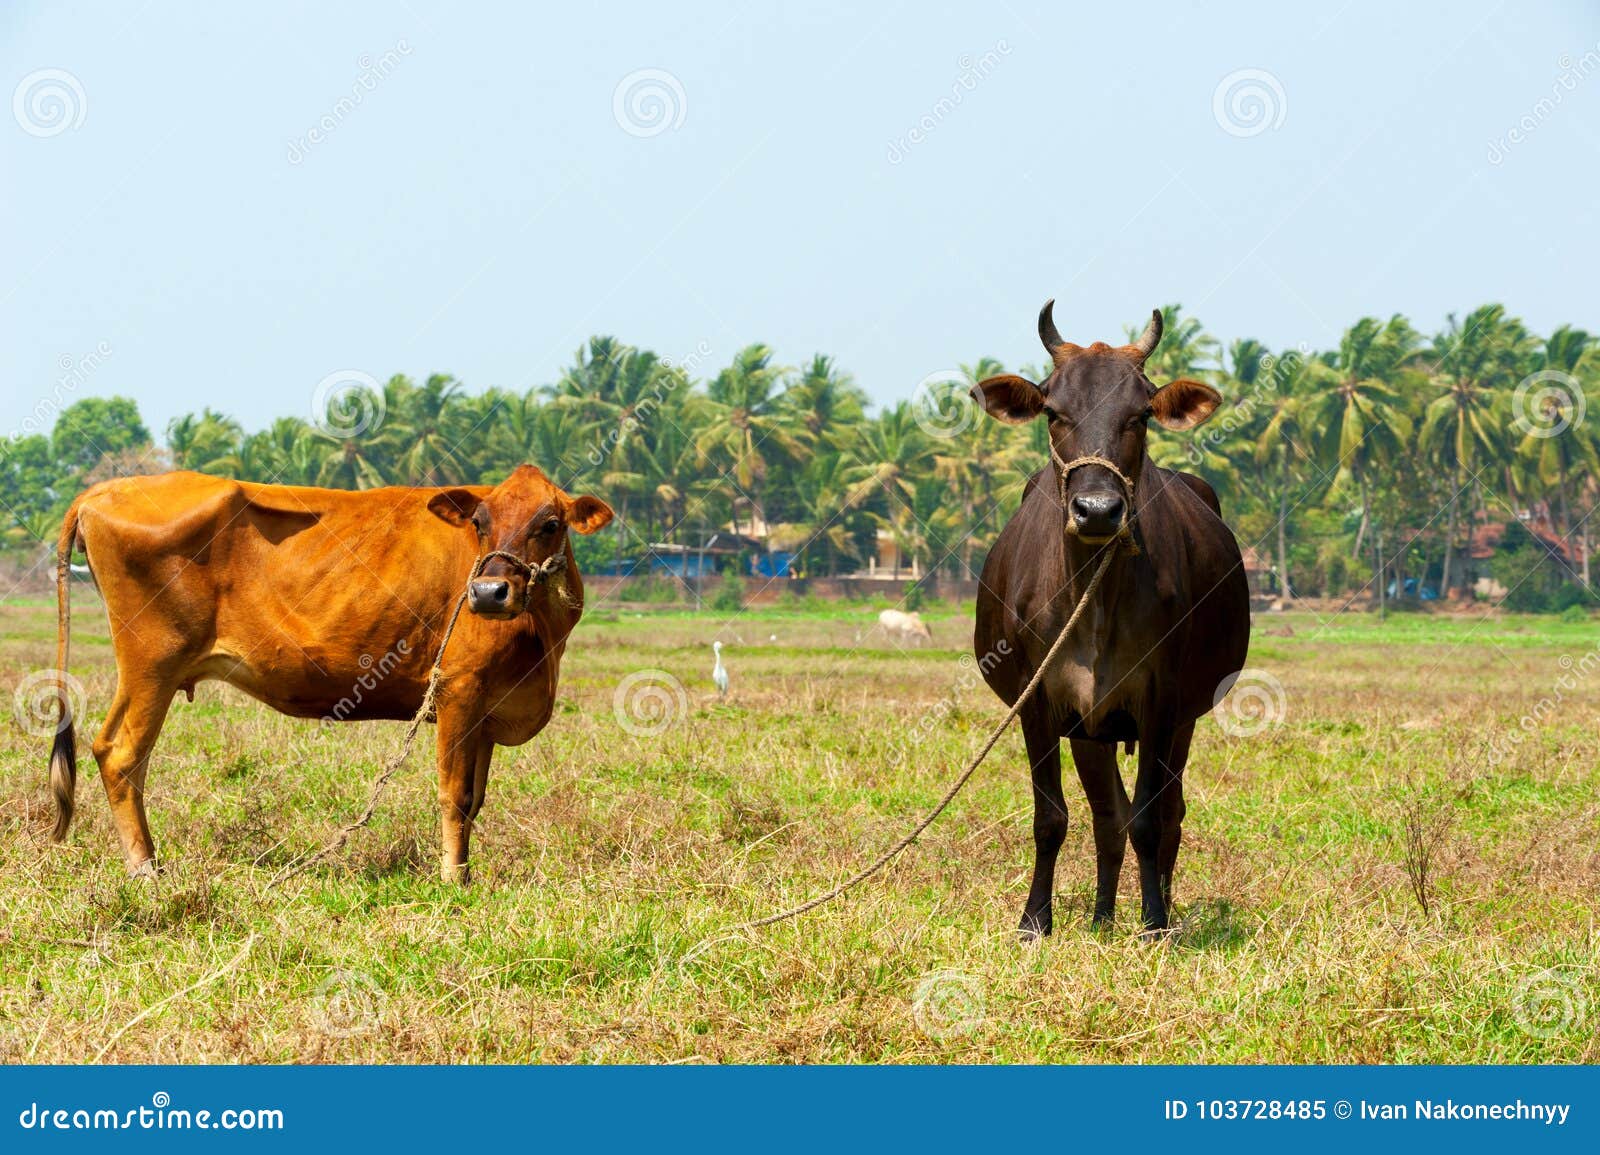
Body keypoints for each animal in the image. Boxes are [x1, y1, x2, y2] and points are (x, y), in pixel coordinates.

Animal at [46, 463, 613, 883]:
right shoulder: (458, 689)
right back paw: (146, 869)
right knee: (123, 755)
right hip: (152, 664)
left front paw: (466, 872)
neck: (543, 643)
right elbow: (454, 795)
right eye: (480, 523)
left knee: (114, 752)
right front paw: (453, 880)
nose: (489, 593)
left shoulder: (488, 713)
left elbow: (475, 800)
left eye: (551, 524)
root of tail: (104, 490)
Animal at [971, 302, 1249, 938]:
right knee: (1106, 815)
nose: (1097, 510)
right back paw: (1100, 917)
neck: (1094, 600)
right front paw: (1034, 921)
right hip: (1089, 730)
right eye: (1054, 411)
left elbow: (1149, 818)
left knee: (1165, 811)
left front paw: (1154, 923)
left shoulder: (1163, 702)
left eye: (1141, 414)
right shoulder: (1041, 703)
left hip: (1178, 719)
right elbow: (1052, 817)